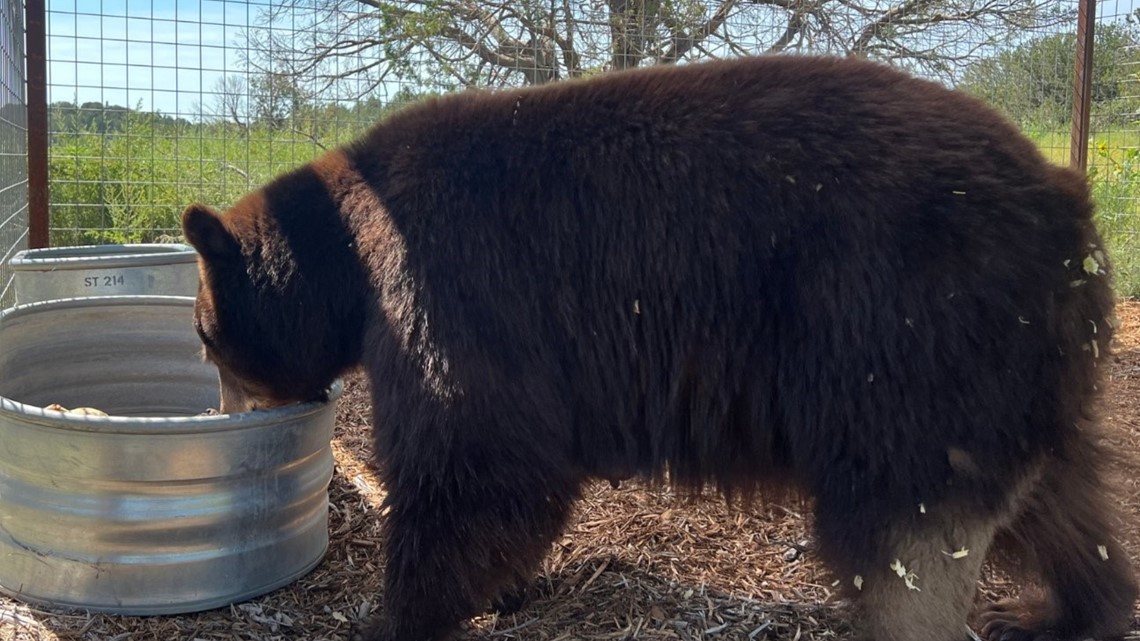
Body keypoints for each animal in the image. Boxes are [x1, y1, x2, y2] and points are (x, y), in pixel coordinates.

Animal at [181, 54, 1138, 641]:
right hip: (1005, 370)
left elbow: (474, 460)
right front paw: (502, 586)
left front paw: (402, 611)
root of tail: (1068, 202)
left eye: (203, 337)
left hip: (901, 338)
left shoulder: (454, 281)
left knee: (905, 533)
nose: (219, 410)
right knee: (1060, 503)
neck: (351, 254)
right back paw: (1065, 608)